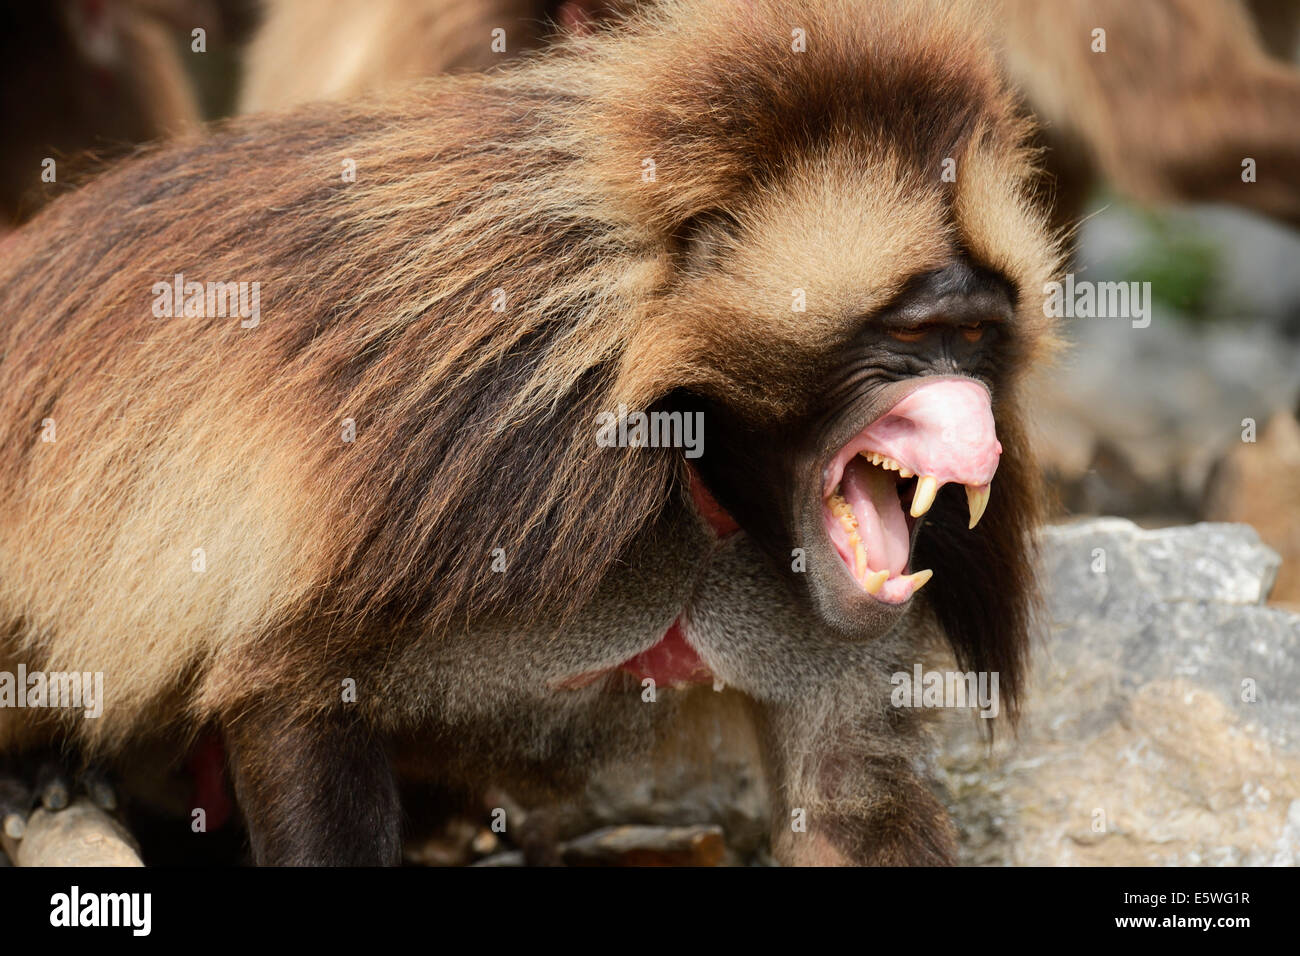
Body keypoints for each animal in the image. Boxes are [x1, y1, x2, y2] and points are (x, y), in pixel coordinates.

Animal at [0, 0, 1058, 865]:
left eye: (976, 338)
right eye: (910, 338)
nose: (980, 438)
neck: (687, 443)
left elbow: (844, 809)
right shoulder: (495, 478)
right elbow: (290, 688)